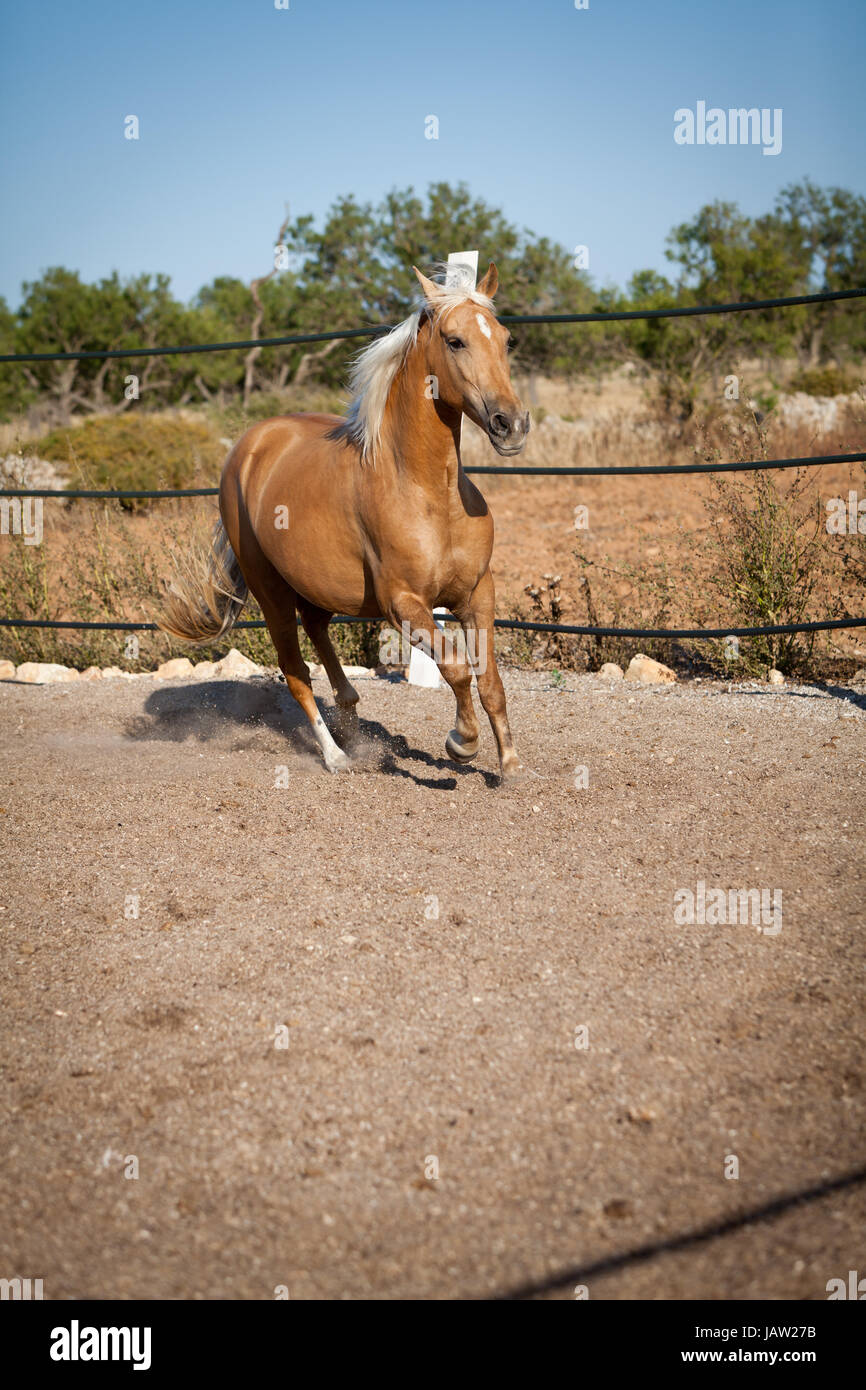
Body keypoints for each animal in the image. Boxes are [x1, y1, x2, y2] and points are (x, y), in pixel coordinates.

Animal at [159, 262, 530, 781]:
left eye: (506, 338)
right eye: (455, 341)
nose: (510, 424)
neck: (428, 492)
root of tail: (247, 447)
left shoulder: (478, 593)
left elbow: (491, 679)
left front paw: (510, 765)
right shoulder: (404, 604)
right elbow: (455, 666)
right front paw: (462, 743)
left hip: (316, 586)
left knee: (319, 637)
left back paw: (352, 728)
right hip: (270, 591)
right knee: (295, 672)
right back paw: (336, 755)